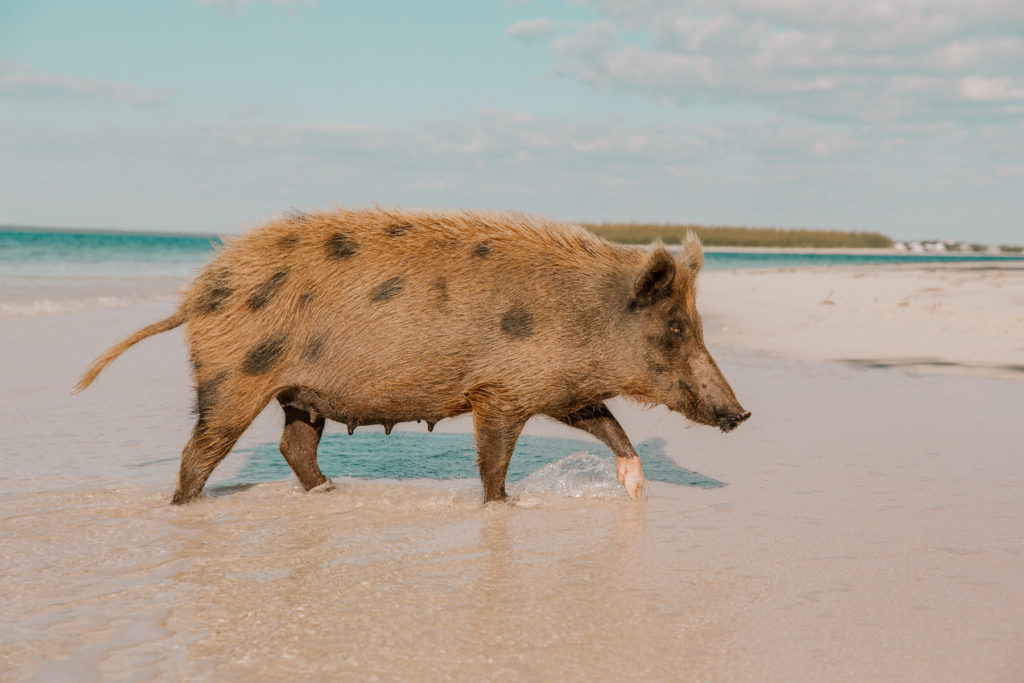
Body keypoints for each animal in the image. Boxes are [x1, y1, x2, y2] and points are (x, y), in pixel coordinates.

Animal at [75, 208, 750, 504]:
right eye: (676, 330)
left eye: (695, 327)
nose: (741, 414)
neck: (582, 314)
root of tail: (194, 295)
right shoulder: (499, 390)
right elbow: (494, 457)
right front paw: (504, 504)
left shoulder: (560, 390)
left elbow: (610, 425)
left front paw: (635, 486)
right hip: (234, 375)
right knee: (201, 449)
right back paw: (185, 506)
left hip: (299, 392)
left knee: (293, 443)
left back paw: (331, 491)